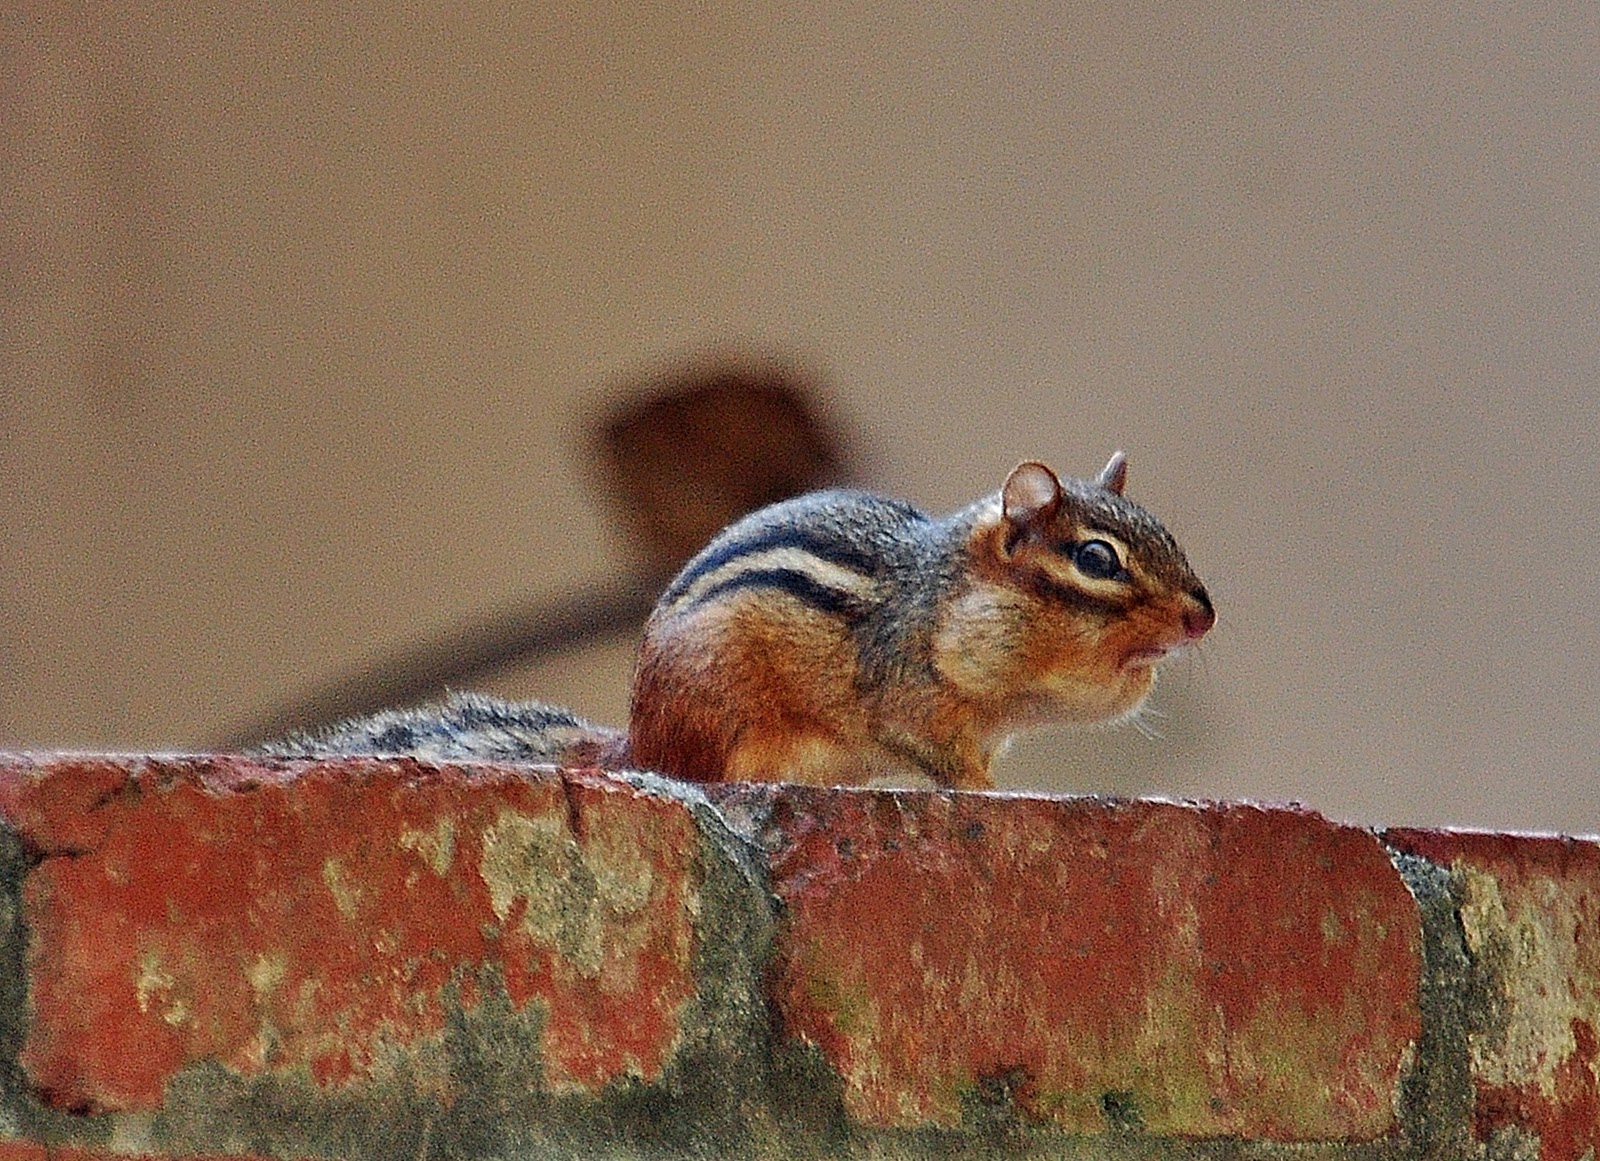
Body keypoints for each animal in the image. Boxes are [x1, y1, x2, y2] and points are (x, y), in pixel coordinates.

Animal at [264, 454, 1213, 790]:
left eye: (1169, 540)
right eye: (1097, 559)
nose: (1202, 617)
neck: (941, 595)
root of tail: (638, 738)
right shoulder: (911, 695)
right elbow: (950, 763)